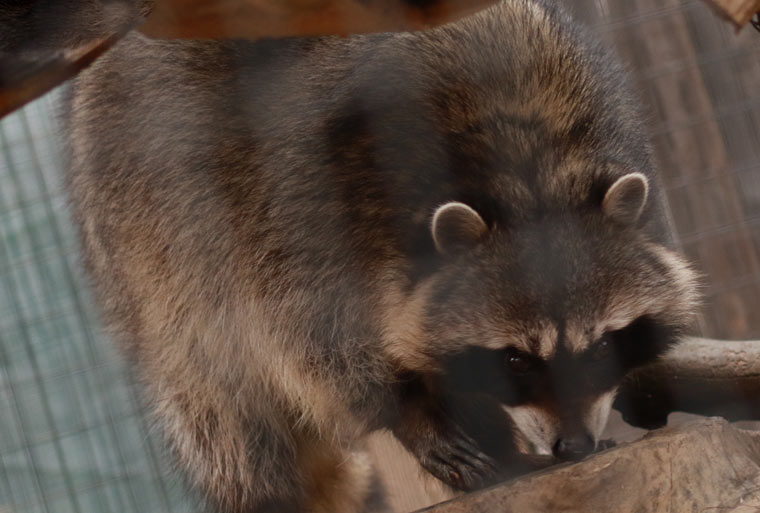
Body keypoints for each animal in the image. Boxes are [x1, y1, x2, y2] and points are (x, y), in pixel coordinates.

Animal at [63, 0, 699, 511]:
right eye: (516, 359)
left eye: (604, 345)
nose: (573, 447)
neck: (525, 170)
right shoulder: (310, 195)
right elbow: (307, 336)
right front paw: (410, 410)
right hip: (151, 202)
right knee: (217, 370)